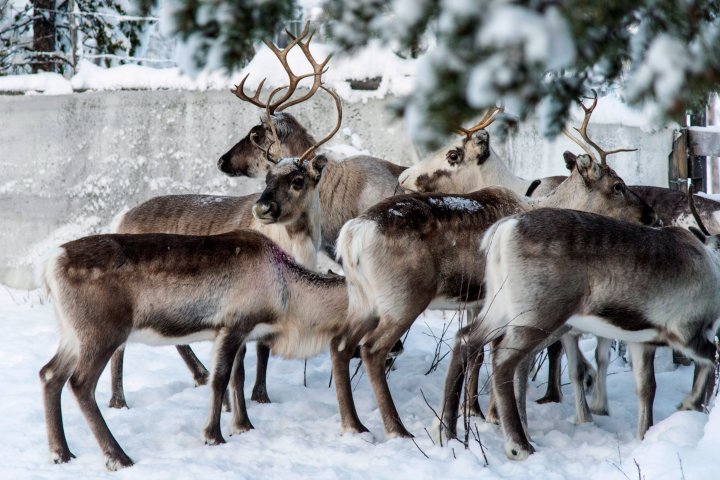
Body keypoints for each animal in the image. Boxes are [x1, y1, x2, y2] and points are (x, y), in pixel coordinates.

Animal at [38, 227, 356, 470]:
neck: (288, 293)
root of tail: (51, 264)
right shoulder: (234, 325)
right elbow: (219, 380)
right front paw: (214, 435)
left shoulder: (234, 333)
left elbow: (237, 378)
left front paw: (243, 426)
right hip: (102, 333)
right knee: (80, 383)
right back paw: (118, 457)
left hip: (72, 335)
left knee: (49, 374)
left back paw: (61, 453)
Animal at [108, 76, 343, 409]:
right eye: (267, 178)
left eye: (297, 180)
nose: (262, 208)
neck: (296, 246)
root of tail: (122, 218)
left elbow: (264, 347)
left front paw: (261, 397)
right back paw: (119, 401)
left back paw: (200, 375)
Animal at [330, 126, 659, 439]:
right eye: (618, 186)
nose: (652, 216)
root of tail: (352, 234)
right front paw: (494, 415)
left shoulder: (479, 301)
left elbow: (479, 354)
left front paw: (476, 411)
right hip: (403, 300)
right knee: (372, 350)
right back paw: (396, 428)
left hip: (362, 300)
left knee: (340, 343)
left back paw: (354, 424)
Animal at [444, 191, 720, 461]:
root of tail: (504, 229)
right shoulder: (686, 332)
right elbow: (711, 358)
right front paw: (690, 404)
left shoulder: (642, 341)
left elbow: (647, 388)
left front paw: (644, 435)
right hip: (538, 315)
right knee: (504, 360)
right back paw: (519, 445)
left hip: (500, 306)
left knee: (466, 339)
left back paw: (447, 430)